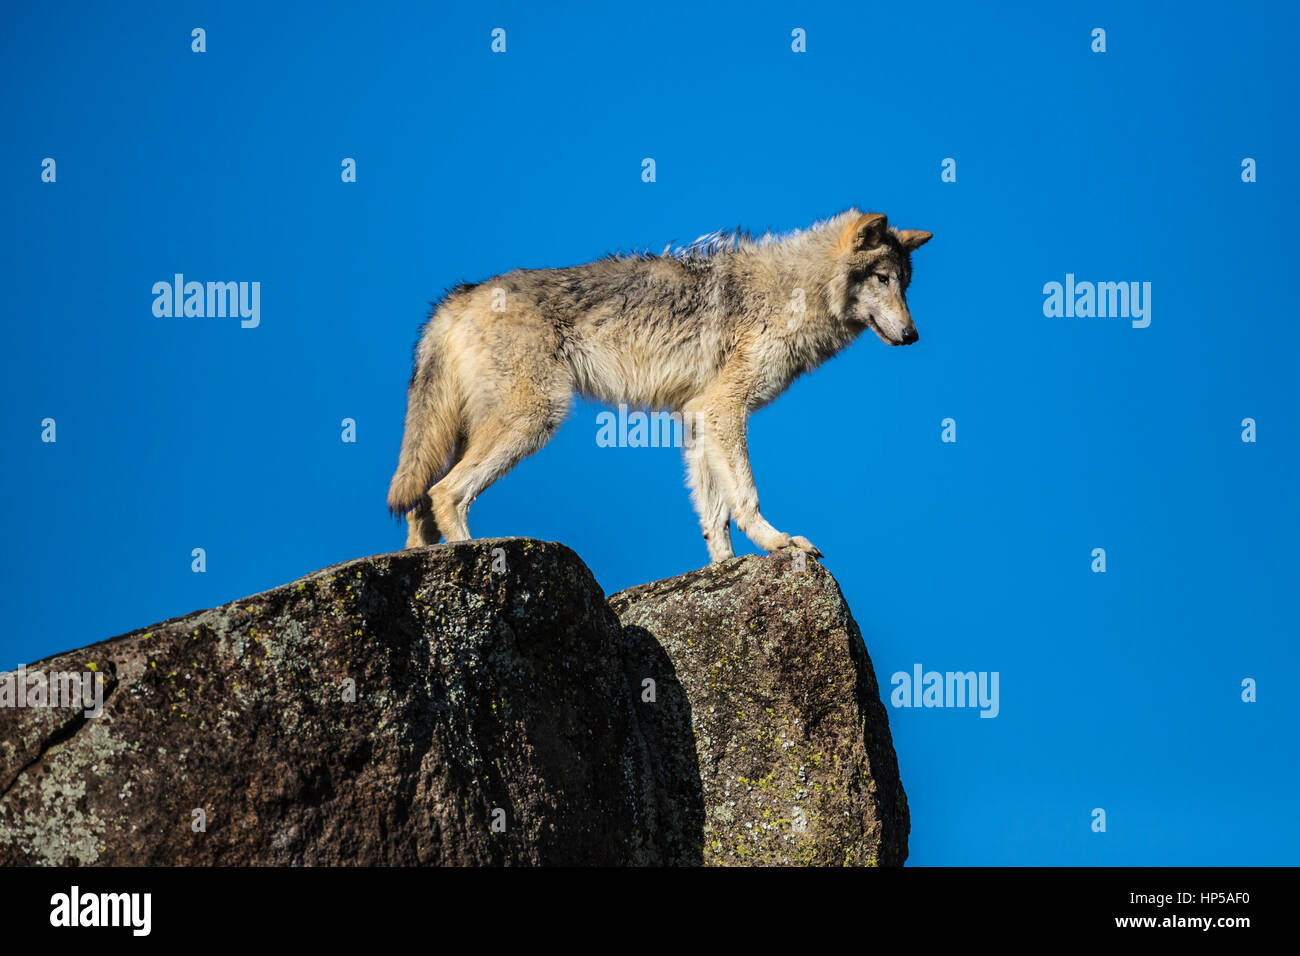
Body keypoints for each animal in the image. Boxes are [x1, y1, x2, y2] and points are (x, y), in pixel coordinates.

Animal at [387, 209, 932, 562]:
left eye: (905, 284)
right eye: (882, 279)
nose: (913, 336)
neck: (792, 292)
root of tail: (457, 297)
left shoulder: (697, 416)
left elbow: (715, 516)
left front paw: (725, 569)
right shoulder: (723, 407)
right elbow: (746, 497)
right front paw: (777, 544)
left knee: (419, 506)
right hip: (532, 419)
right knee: (444, 493)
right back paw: (471, 554)